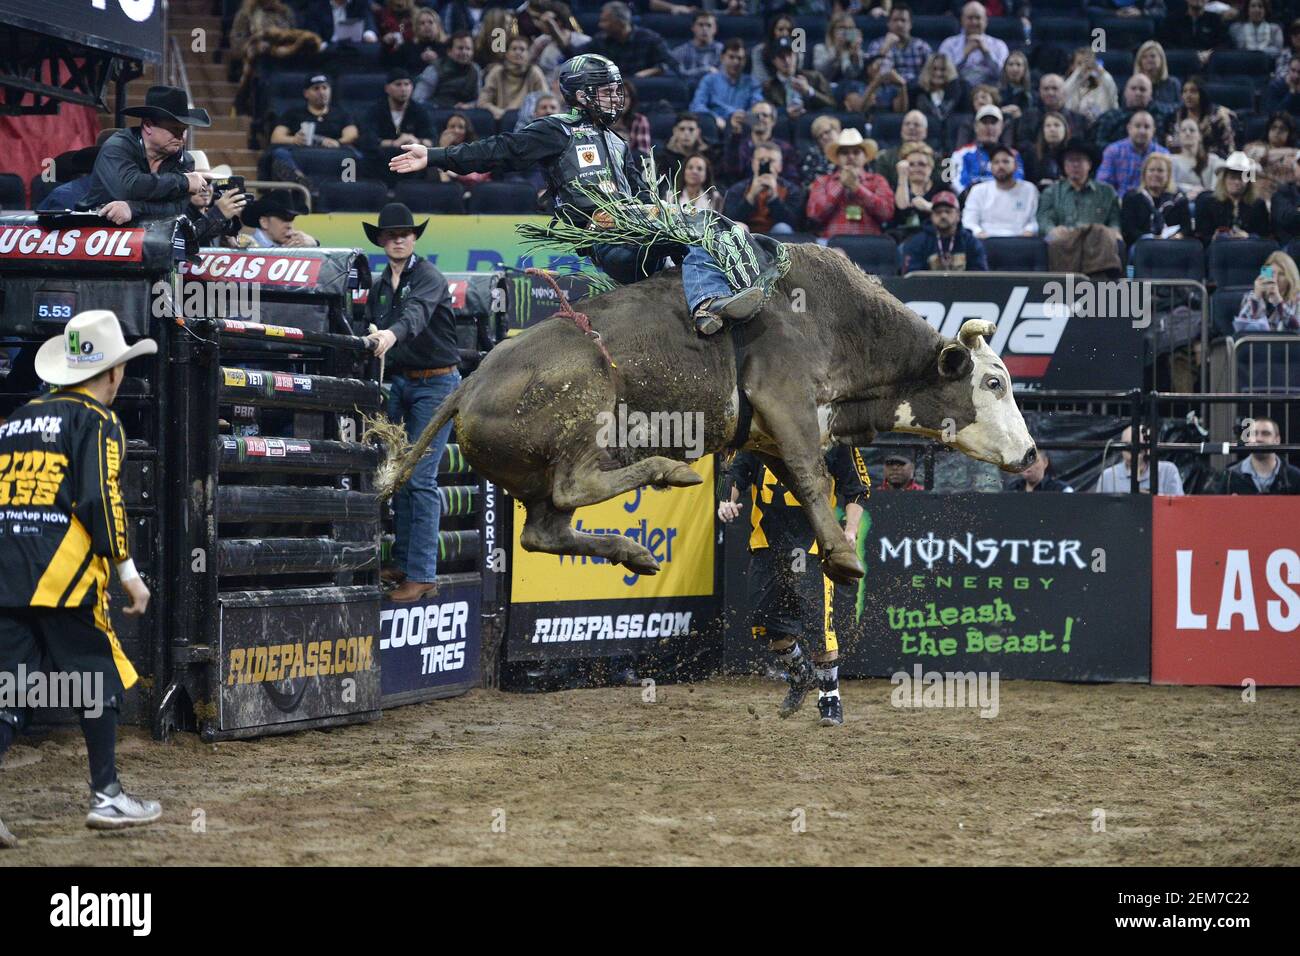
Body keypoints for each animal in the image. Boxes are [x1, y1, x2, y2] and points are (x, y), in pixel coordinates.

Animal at [378, 242, 1037, 584]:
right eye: (995, 381)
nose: (1031, 454)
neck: (839, 324)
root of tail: (469, 382)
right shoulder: (785, 401)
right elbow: (812, 476)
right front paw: (844, 558)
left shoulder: (776, 430)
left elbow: (803, 478)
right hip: (589, 404)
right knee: (574, 484)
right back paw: (669, 472)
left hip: (529, 476)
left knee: (545, 529)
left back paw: (635, 553)